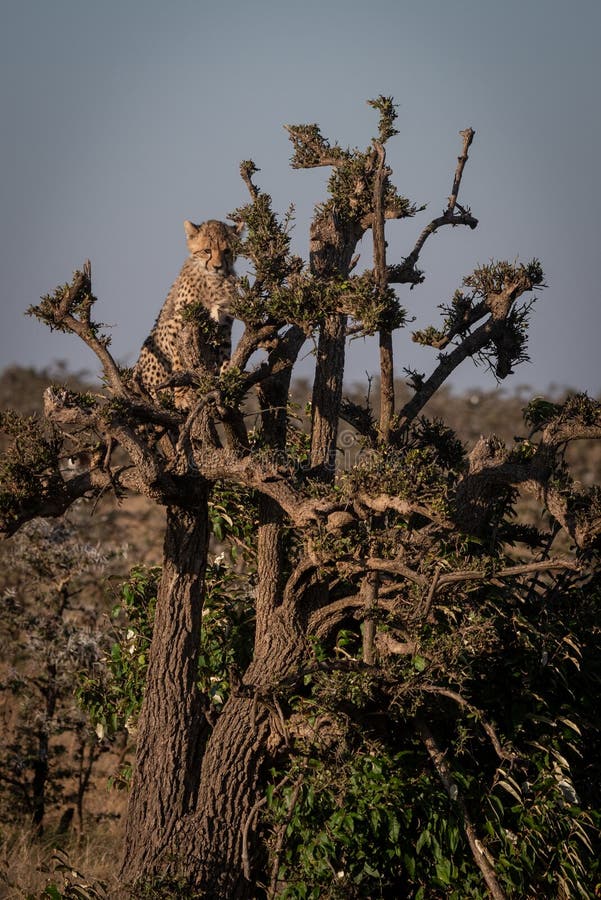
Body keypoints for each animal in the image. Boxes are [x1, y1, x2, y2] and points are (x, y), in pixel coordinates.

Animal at [132, 219, 243, 410]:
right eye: (207, 251)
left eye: (227, 251)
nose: (218, 267)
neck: (213, 280)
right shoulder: (175, 327)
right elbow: (179, 364)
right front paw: (182, 396)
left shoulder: (223, 327)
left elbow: (225, 357)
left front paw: (225, 382)